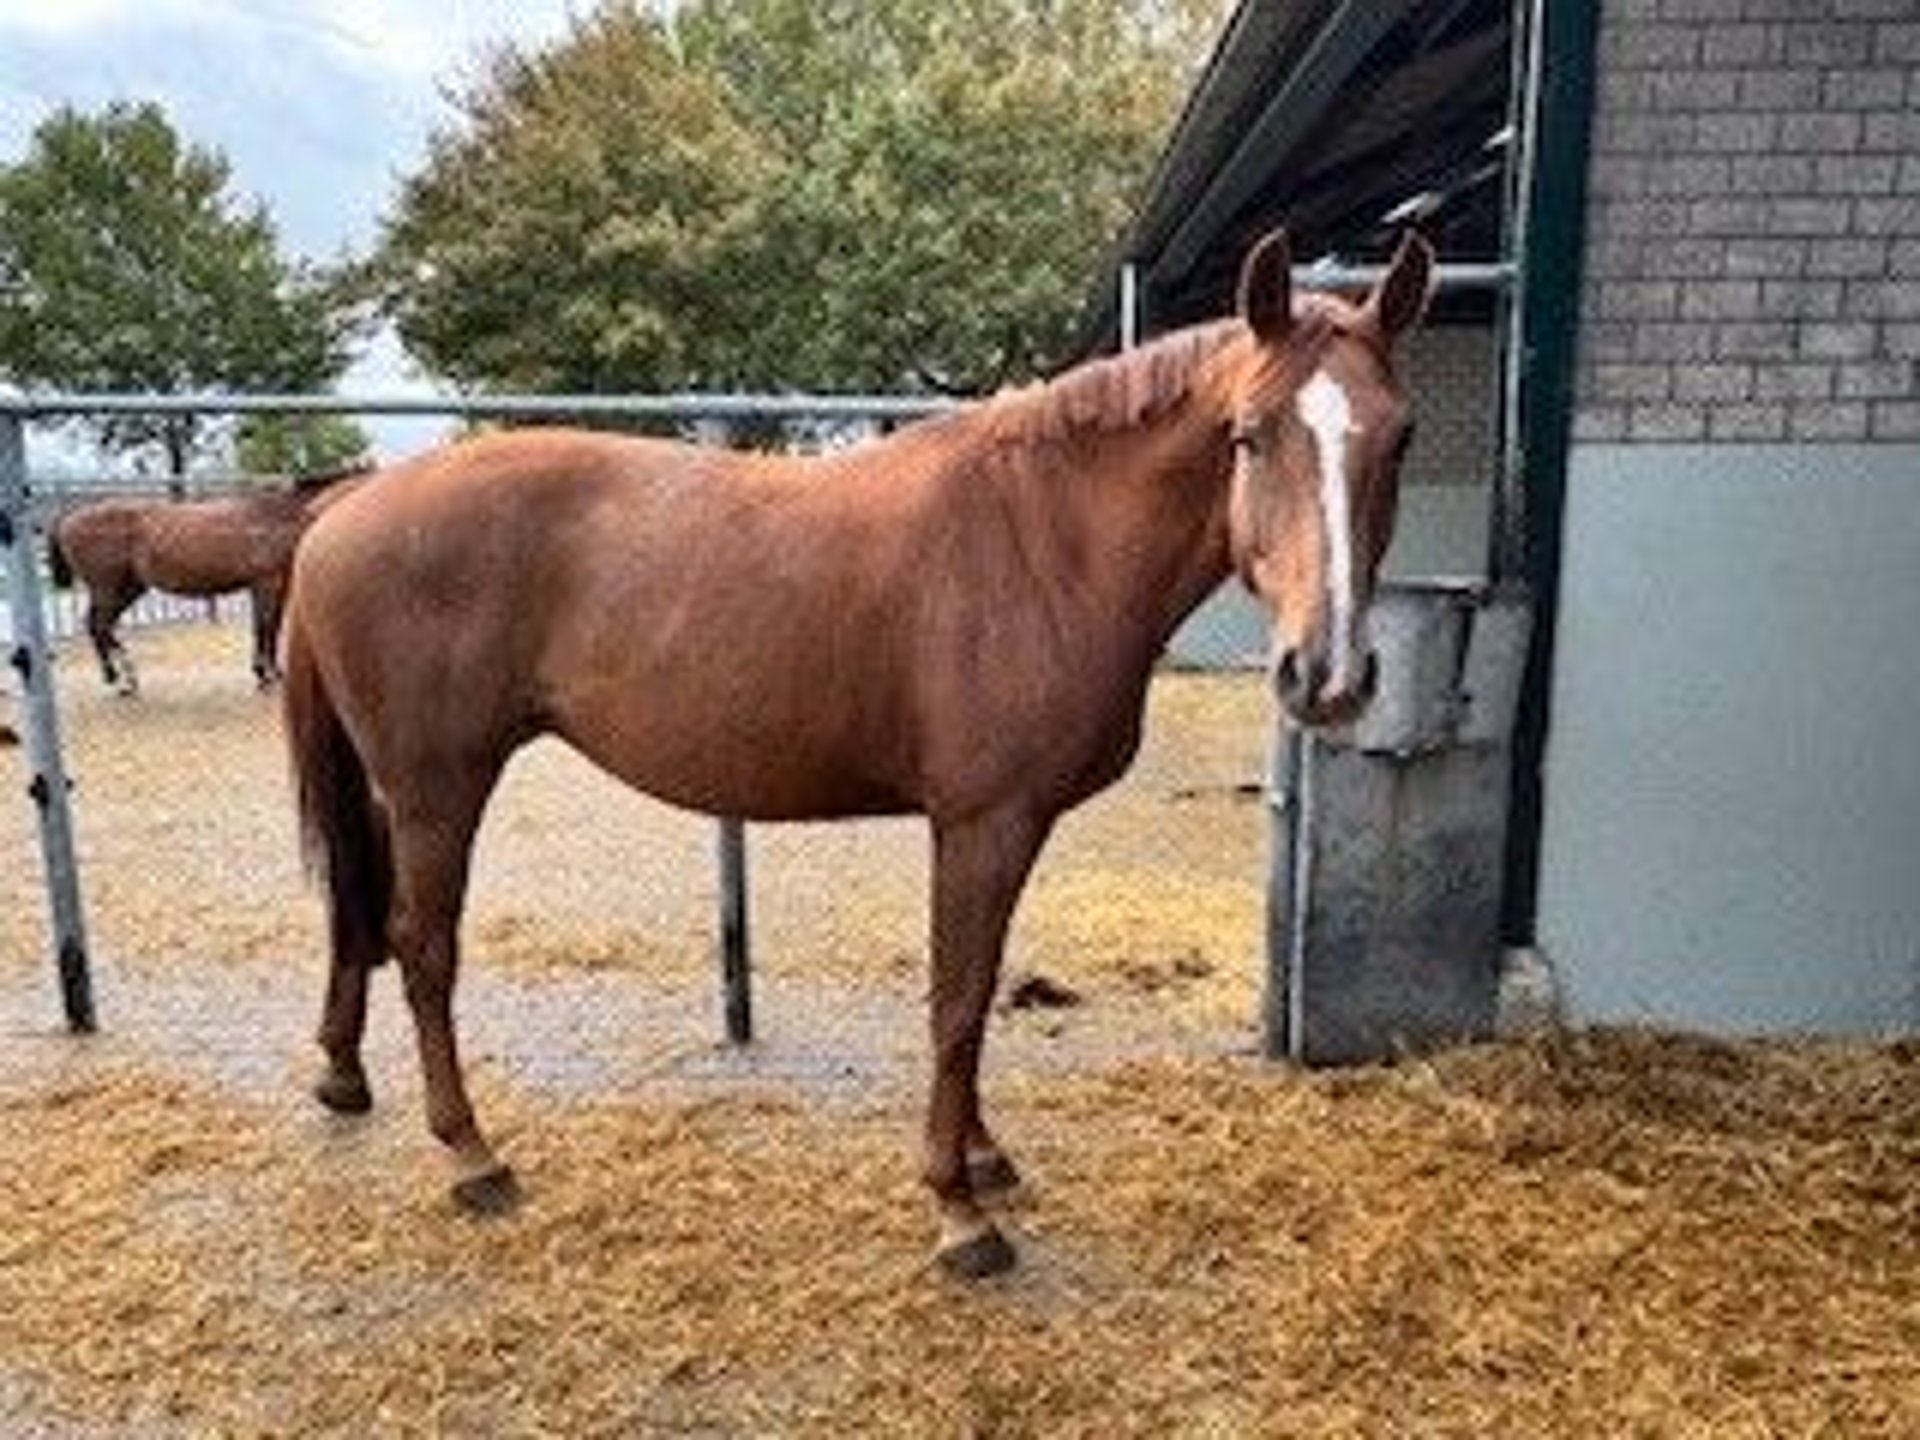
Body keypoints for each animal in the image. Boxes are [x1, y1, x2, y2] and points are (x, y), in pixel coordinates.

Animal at [47, 466, 367, 695]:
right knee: (99, 625)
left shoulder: (279, 585)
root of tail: (67, 518)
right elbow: (263, 628)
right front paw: (266, 677)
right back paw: (123, 681)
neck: (279, 517)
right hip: (109, 588)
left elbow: (271, 629)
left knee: (98, 626)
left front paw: (271, 674)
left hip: (129, 588)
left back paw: (118, 677)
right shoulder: (265, 584)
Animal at [282, 226, 1433, 1279]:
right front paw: (960, 1209)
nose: (1328, 674)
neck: (1043, 540)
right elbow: (959, 998)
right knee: (422, 946)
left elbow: (974, 990)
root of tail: (343, 510)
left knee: (360, 923)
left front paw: (983, 1157)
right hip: (438, 788)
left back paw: (346, 1077)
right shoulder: (984, 821)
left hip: (393, 792)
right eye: (1249, 435)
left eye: (1402, 439)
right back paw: (472, 1157)